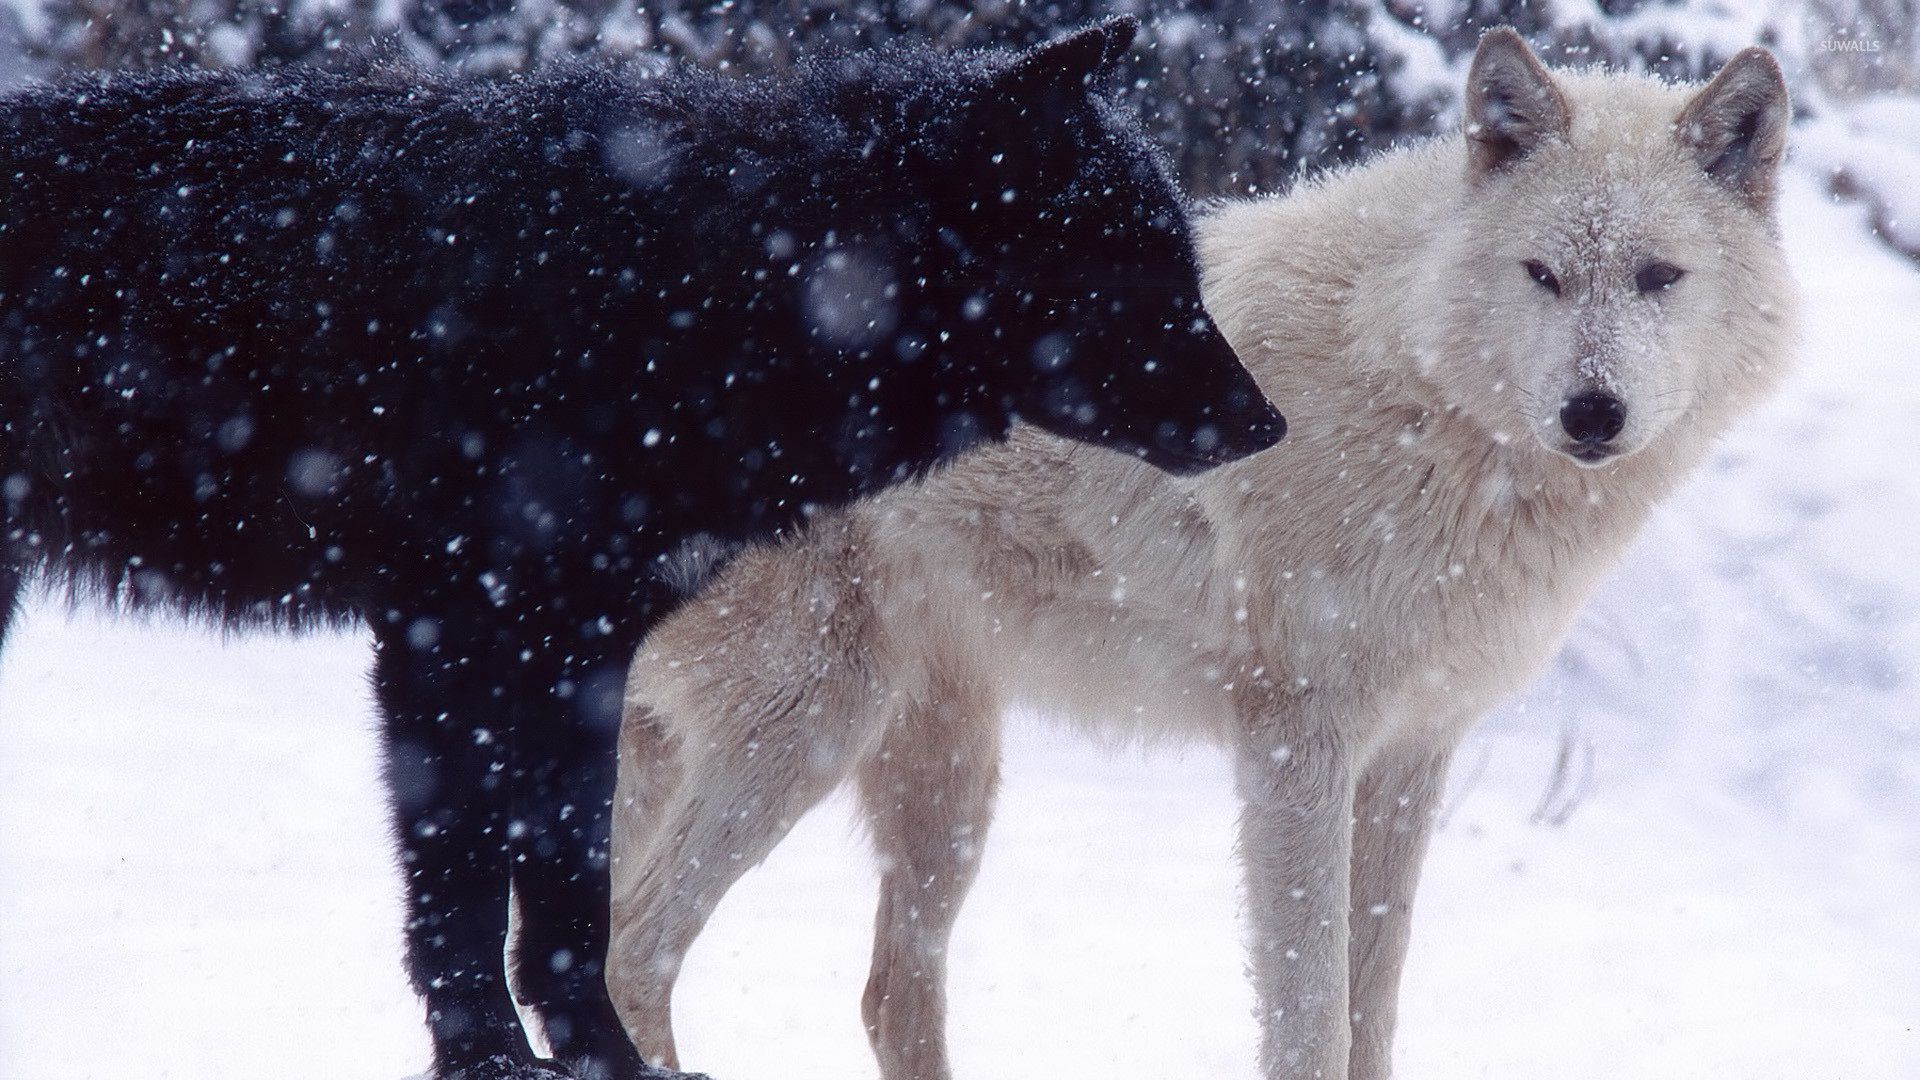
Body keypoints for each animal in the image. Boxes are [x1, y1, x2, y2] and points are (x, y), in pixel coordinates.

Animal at [0, 17, 1285, 1080]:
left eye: (1183, 263)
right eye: (1139, 268)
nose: (1271, 425)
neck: (705, 282)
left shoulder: (581, 654)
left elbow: (572, 901)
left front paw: (606, 1065)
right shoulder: (447, 640)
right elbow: (464, 892)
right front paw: (488, 1064)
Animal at [607, 29, 1795, 1080]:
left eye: (1659, 276)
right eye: (1543, 274)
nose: (1593, 413)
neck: (1422, 400)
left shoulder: (1414, 753)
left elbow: (1374, 1007)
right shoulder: (1296, 746)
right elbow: (1310, 1017)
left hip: (939, 780)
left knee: (880, 993)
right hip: (811, 725)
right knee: (634, 959)